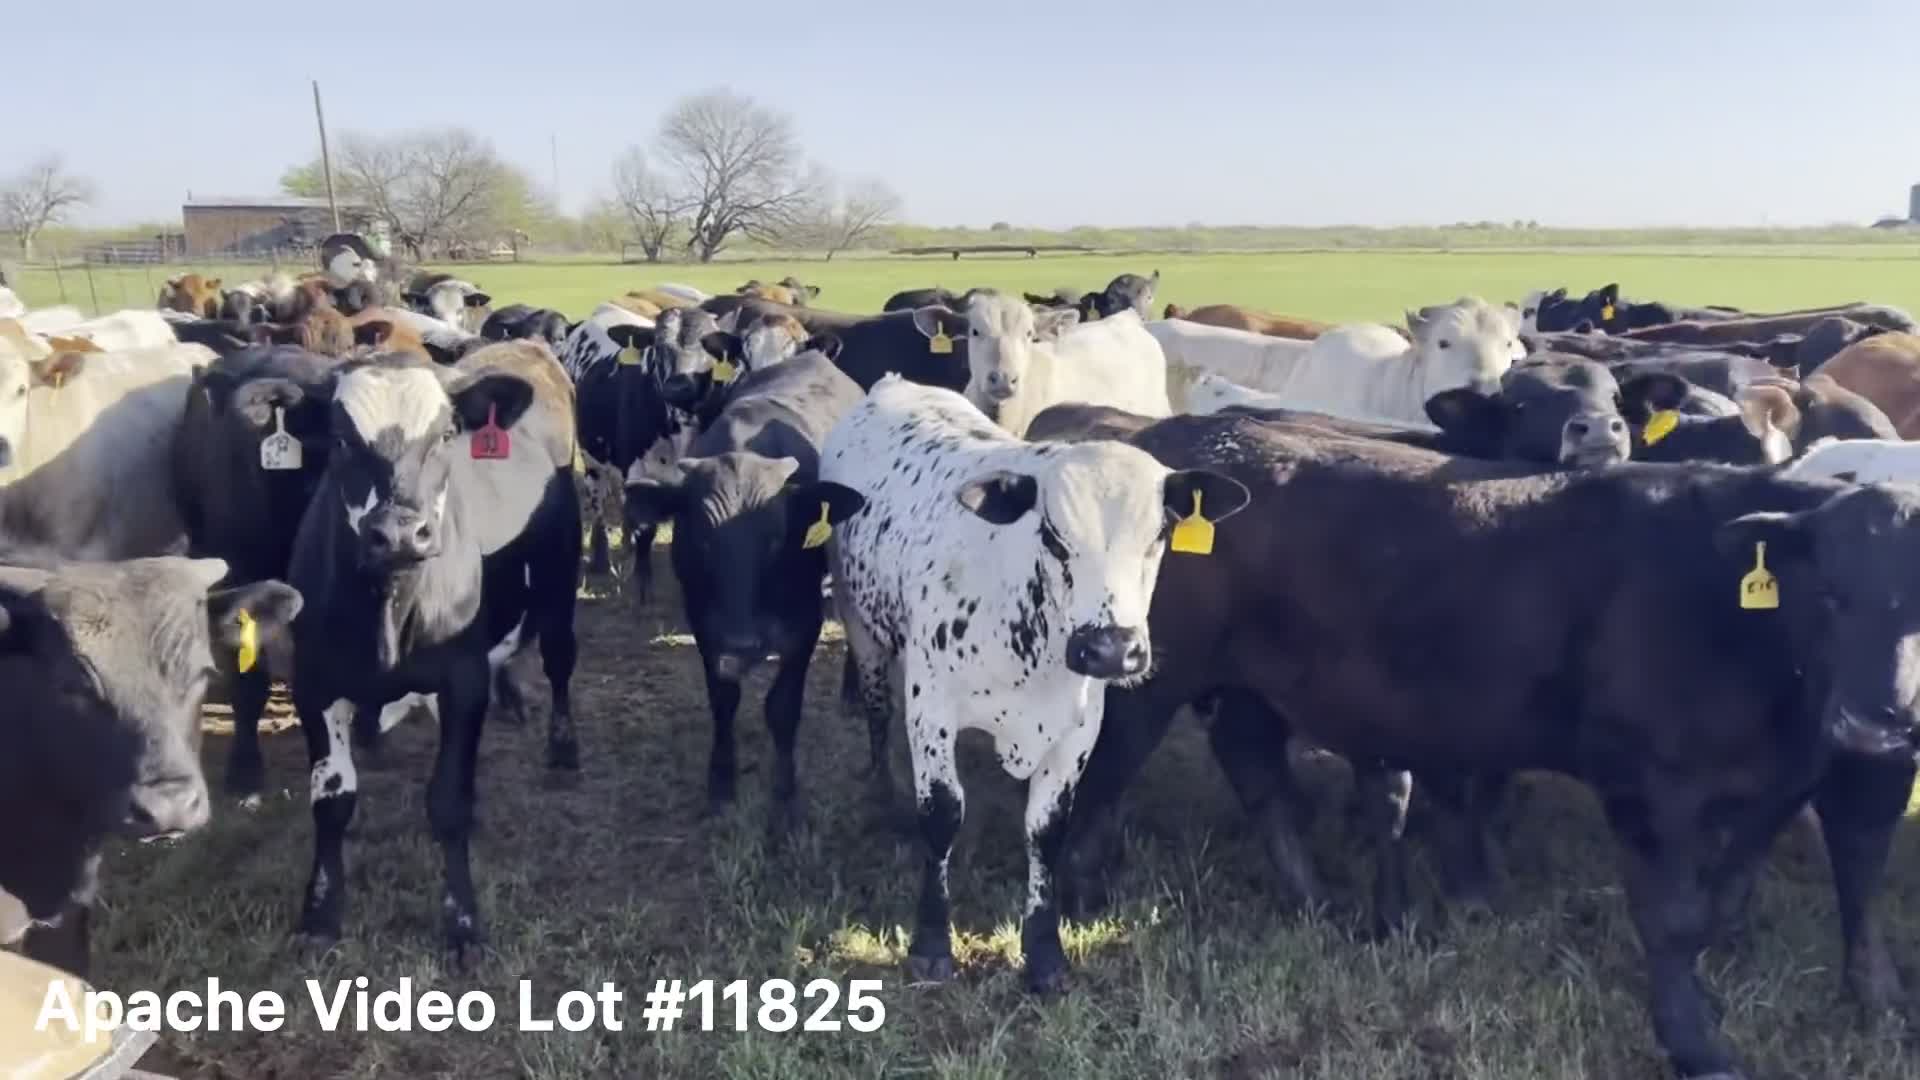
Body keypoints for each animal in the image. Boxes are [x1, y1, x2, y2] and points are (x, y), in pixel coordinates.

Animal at [283, 345, 581, 960]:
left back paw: (563, 745)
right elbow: (330, 800)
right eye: (341, 438)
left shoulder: (460, 681)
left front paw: (461, 920)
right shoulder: (314, 683)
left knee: (561, 659)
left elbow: (449, 801)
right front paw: (321, 912)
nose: (399, 533)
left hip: (561, 585)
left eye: (446, 433)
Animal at [622, 352, 863, 831]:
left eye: (775, 538)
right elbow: (723, 701)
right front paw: (721, 784)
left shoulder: (804, 625)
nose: (744, 644)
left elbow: (783, 708)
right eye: (703, 537)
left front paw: (785, 797)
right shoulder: (705, 625)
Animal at [822, 375, 1249, 993]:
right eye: (1052, 536)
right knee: (878, 714)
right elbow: (942, 814)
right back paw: (883, 797)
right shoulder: (933, 709)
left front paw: (1045, 954)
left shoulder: (1080, 730)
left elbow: (1047, 829)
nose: (1110, 649)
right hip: (863, 628)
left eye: (1160, 535)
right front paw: (931, 943)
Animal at [1055, 411, 1919, 1077]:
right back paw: (1070, 913)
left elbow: (1737, 891)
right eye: (1829, 594)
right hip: (1145, 675)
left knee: (1256, 768)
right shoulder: (1648, 781)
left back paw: (1314, 901)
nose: (1876, 721)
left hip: (1249, 682)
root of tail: (1182, 439)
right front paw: (1698, 1045)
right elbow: (1675, 919)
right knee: (1101, 779)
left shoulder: (1778, 787)